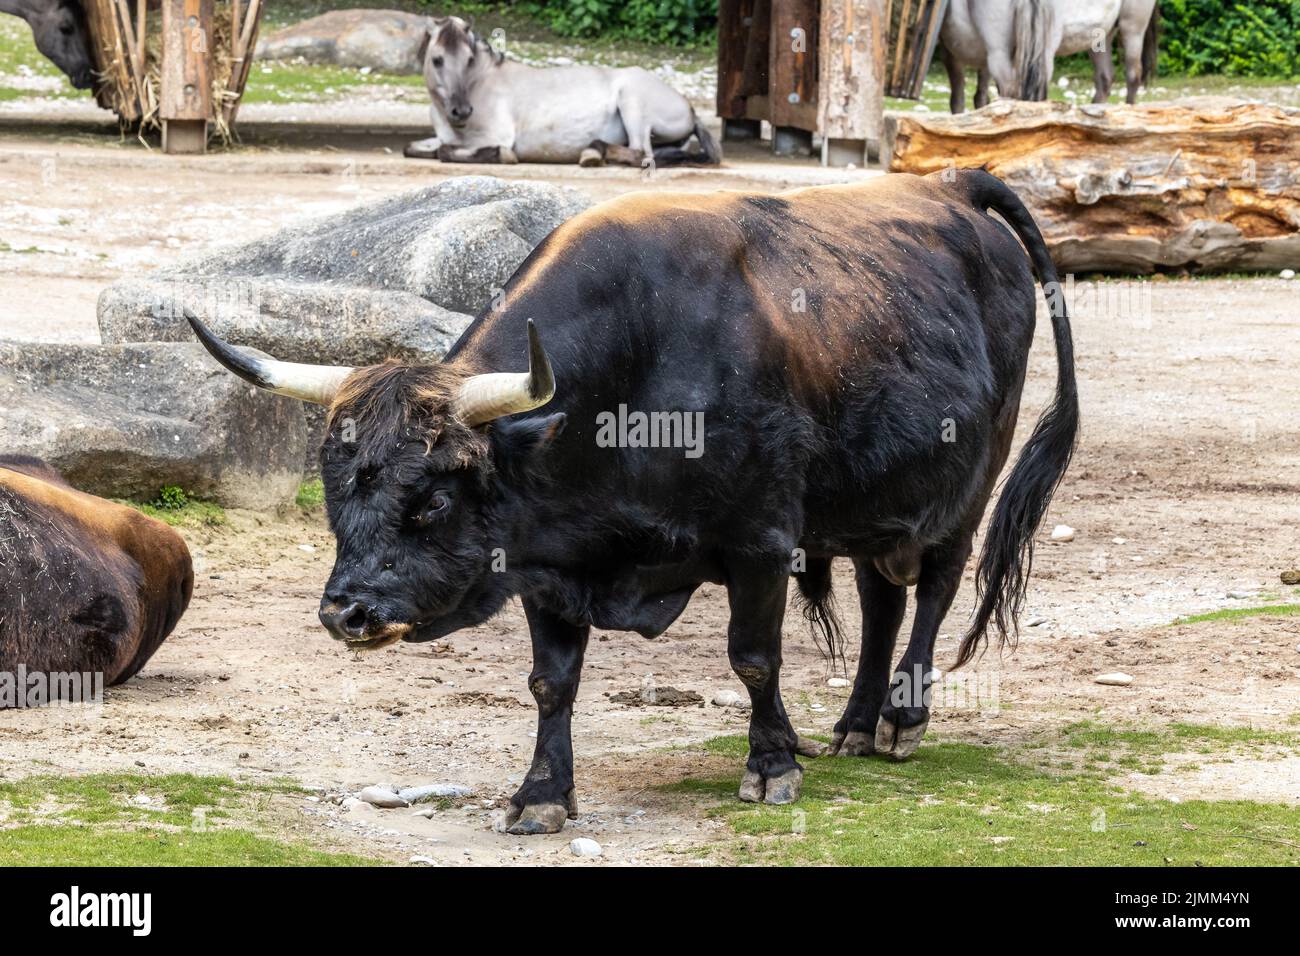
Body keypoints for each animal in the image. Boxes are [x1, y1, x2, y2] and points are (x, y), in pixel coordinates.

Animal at [186, 168, 1078, 834]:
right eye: (337, 492)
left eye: (431, 500)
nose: (347, 614)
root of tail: (954, 188)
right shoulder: (548, 564)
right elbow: (552, 683)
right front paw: (541, 795)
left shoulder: (760, 543)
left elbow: (754, 659)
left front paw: (771, 765)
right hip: (869, 503)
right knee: (879, 596)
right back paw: (855, 724)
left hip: (967, 488)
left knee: (933, 592)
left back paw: (899, 720)